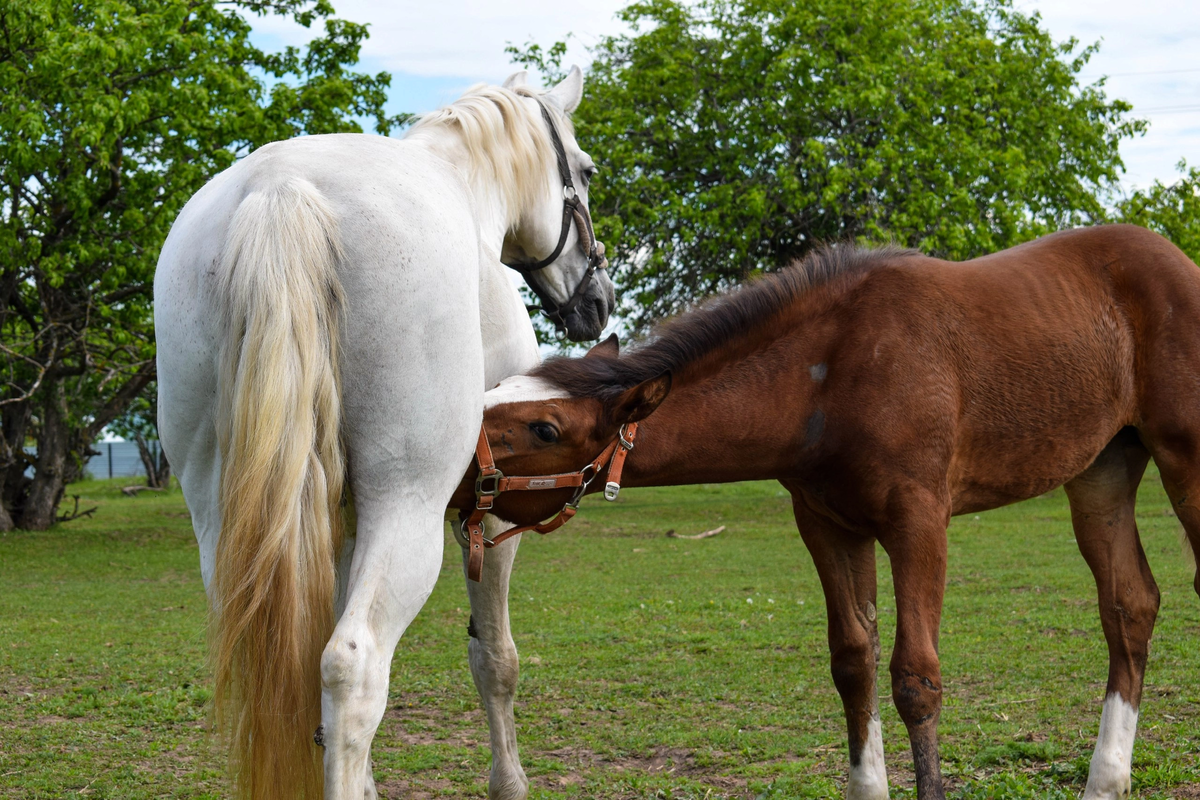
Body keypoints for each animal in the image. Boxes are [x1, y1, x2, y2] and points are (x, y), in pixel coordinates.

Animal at [154, 70, 609, 800]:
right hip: (407, 506)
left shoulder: (337, 519)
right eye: (587, 170)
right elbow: (495, 657)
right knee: (353, 664)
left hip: (224, 517)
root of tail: (283, 188)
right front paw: (509, 781)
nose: (597, 301)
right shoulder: (490, 511)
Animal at [451, 225, 1200, 800]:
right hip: (1101, 472)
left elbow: (916, 679)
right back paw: (1106, 779)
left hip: (1184, 460)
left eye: (546, 428)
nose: (448, 471)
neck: (831, 374)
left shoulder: (918, 520)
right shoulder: (826, 523)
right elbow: (852, 662)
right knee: (1130, 605)